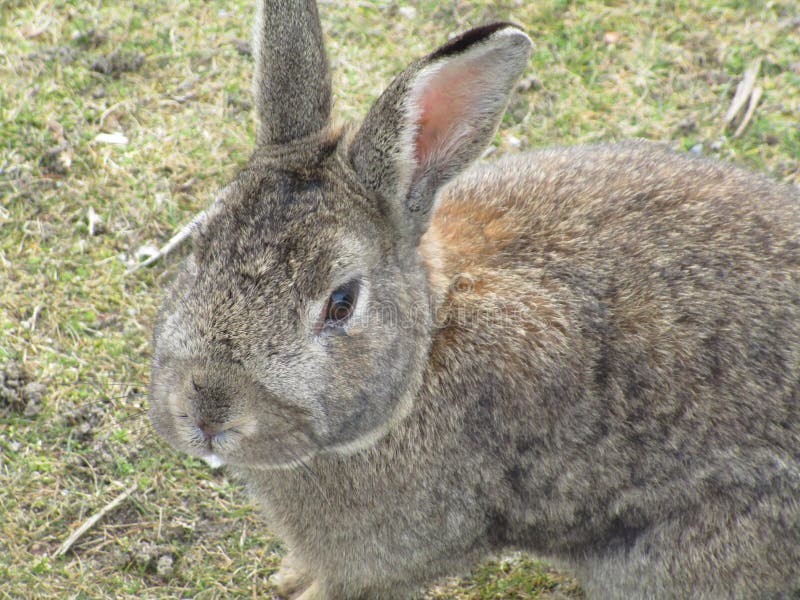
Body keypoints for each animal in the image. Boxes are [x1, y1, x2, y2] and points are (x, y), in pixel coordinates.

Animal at [148, 0, 800, 598]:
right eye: (200, 245)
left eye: (341, 302)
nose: (207, 411)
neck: (427, 351)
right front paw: (288, 577)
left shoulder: (394, 559)